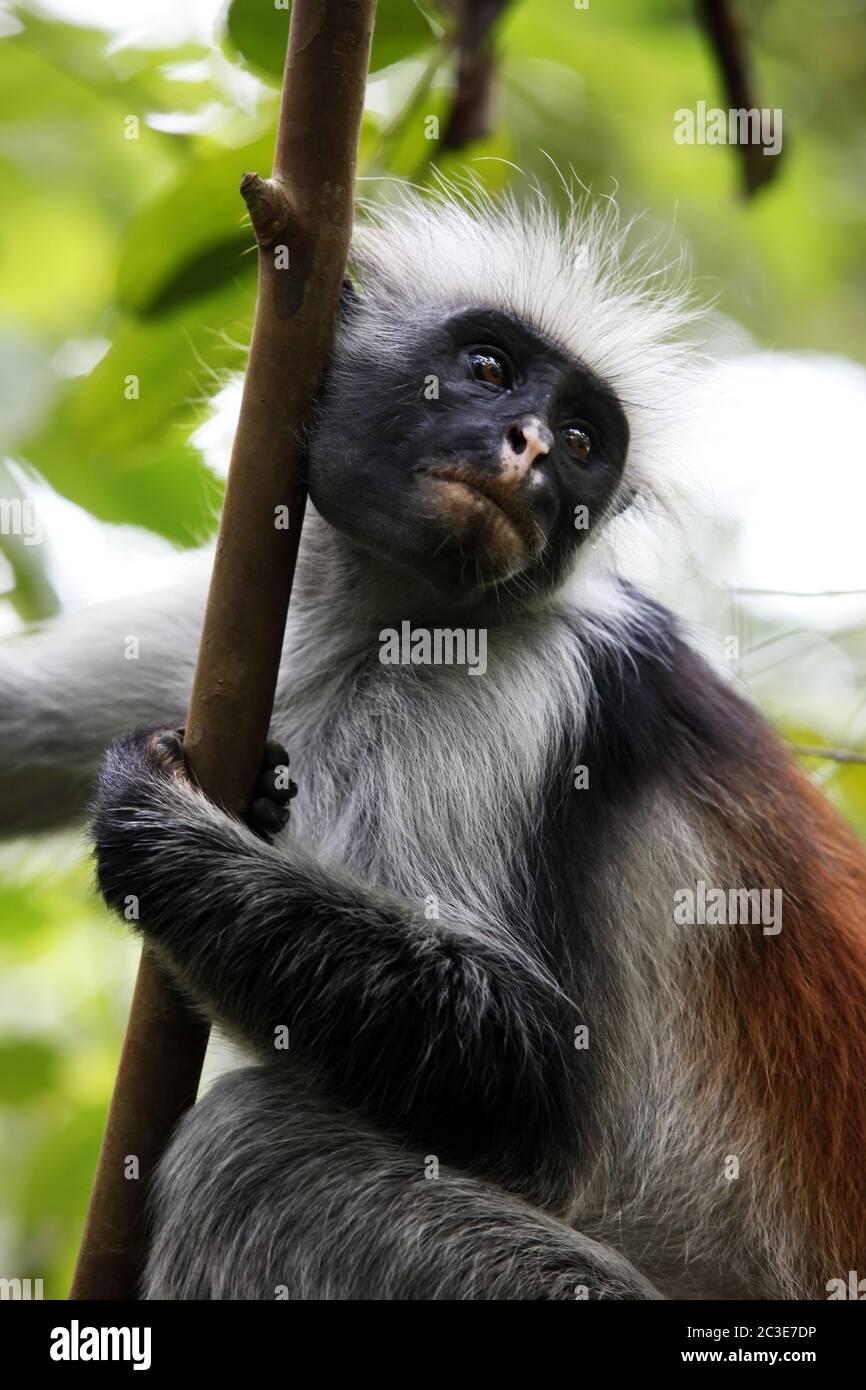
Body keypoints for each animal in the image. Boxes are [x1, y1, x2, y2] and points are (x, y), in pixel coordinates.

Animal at [2, 187, 865, 1300]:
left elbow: (523, 1067)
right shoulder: (238, 625)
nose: (531, 447)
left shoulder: (520, 687)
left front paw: (155, 823)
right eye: (488, 368)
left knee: (247, 1155)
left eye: (581, 440)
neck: (379, 622)